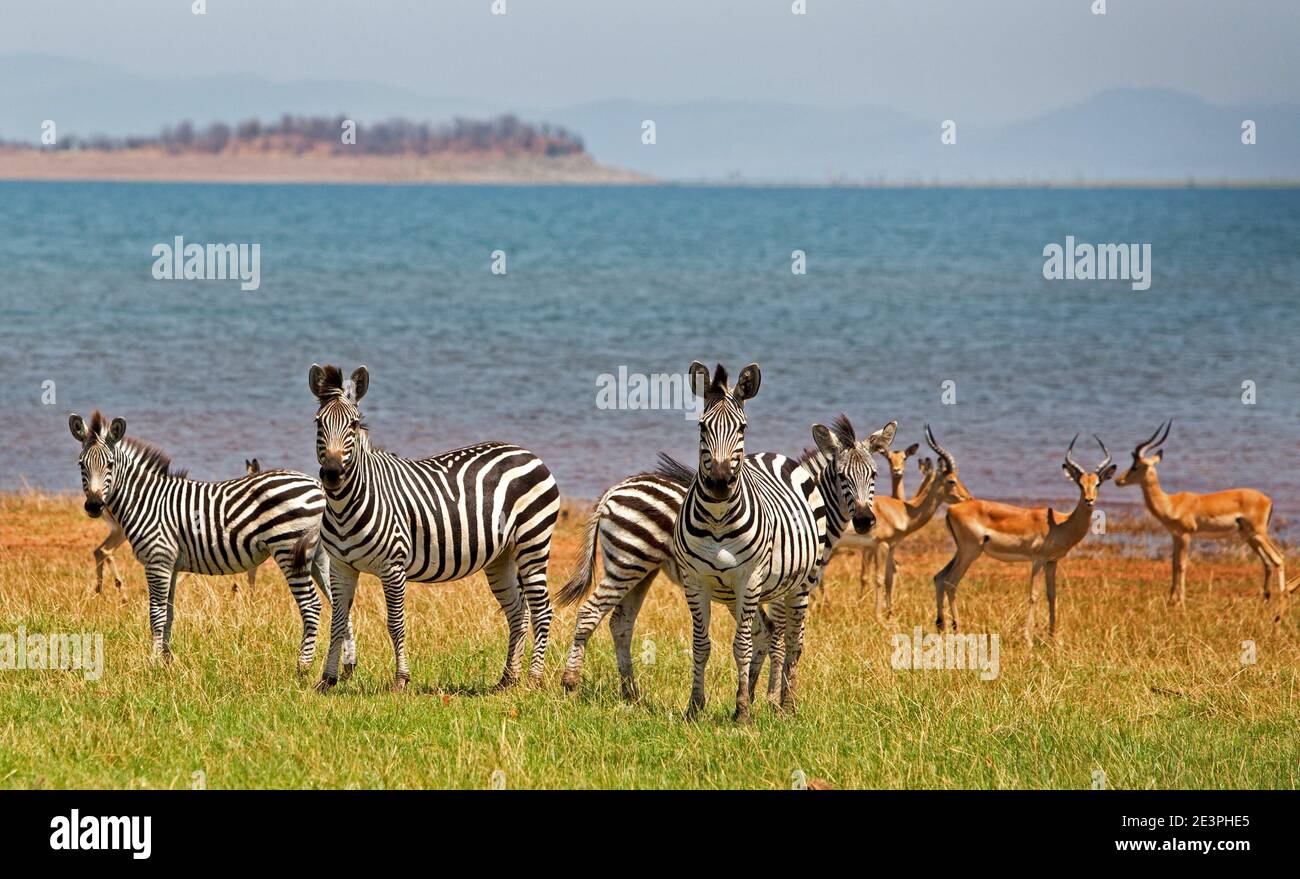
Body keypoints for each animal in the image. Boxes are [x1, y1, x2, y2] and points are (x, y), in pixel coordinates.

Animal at [68, 411, 349, 671]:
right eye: (81, 464)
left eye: (110, 465)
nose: (94, 506)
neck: (147, 500)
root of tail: (317, 485)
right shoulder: (170, 565)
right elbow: (169, 612)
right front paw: (167, 662)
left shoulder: (157, 560)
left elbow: (156, 614)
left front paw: (153, 663)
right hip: (320, 556)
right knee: (338, 605)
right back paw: (345, 667)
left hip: (290, 549)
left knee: (311, 606)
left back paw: (303, 668)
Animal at [309, 364, 561, 693]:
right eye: (318, 424)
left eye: (353, 424)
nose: (332, 474)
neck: (345, 506)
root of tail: (528, 453)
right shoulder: (341, 567)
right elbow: (338, 622)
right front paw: (327, 680)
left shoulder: (393, 567)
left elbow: (395, 623)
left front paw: (401, 680)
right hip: (501, 555)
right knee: (518, 610)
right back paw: (507, 680)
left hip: (533, 541)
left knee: (542, 610)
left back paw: (533, 679)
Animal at [558, 413, 895, 704]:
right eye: (841, 476)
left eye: (874, 475)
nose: (865, 521)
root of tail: (613, 491)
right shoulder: (783, 588)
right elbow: (776, 638)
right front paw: (771, 700)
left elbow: (762, 636)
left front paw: (753, 694)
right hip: (628, 563)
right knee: (589, 613)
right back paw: (571, 684)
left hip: (641, 570)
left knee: (621, 622)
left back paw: (631, 694)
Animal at [667, 361, 827, 723]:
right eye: (701, 427)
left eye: (742, 428)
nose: (719, 482)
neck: (717, 519)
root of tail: (774, 455)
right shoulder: (694, 581)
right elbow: (701, 645)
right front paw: (695, 707)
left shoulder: (749, 579)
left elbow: (741, 646)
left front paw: (742, 713)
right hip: (774, 586)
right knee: (772, 635)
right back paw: (767, 700)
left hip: (802, 583)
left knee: (793, 642)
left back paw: (787, 705)